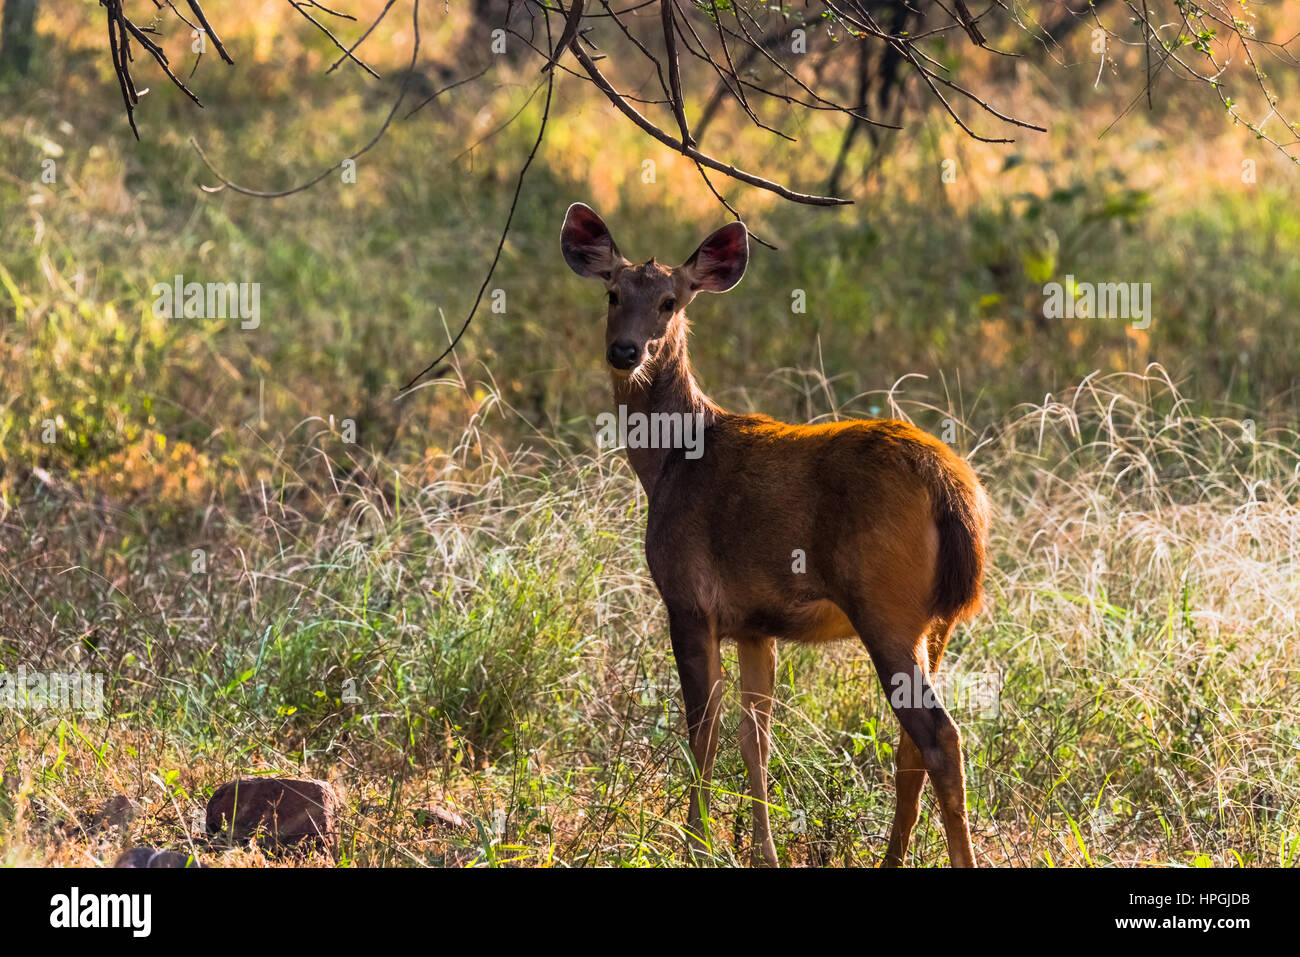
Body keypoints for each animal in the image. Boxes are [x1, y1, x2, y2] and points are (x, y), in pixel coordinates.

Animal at [560, 203, 991, 867]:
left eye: (669, 301)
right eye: (612, 293)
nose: (624, 350)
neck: (670, 462)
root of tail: (953, 487)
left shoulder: (688, 598)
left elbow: (703, 731)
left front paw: (697, 843)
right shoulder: (755, 625)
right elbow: (755, 738)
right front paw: (761, 849)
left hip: (885, 606)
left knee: (940, 736)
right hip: (938, 621)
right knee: (911, 746)